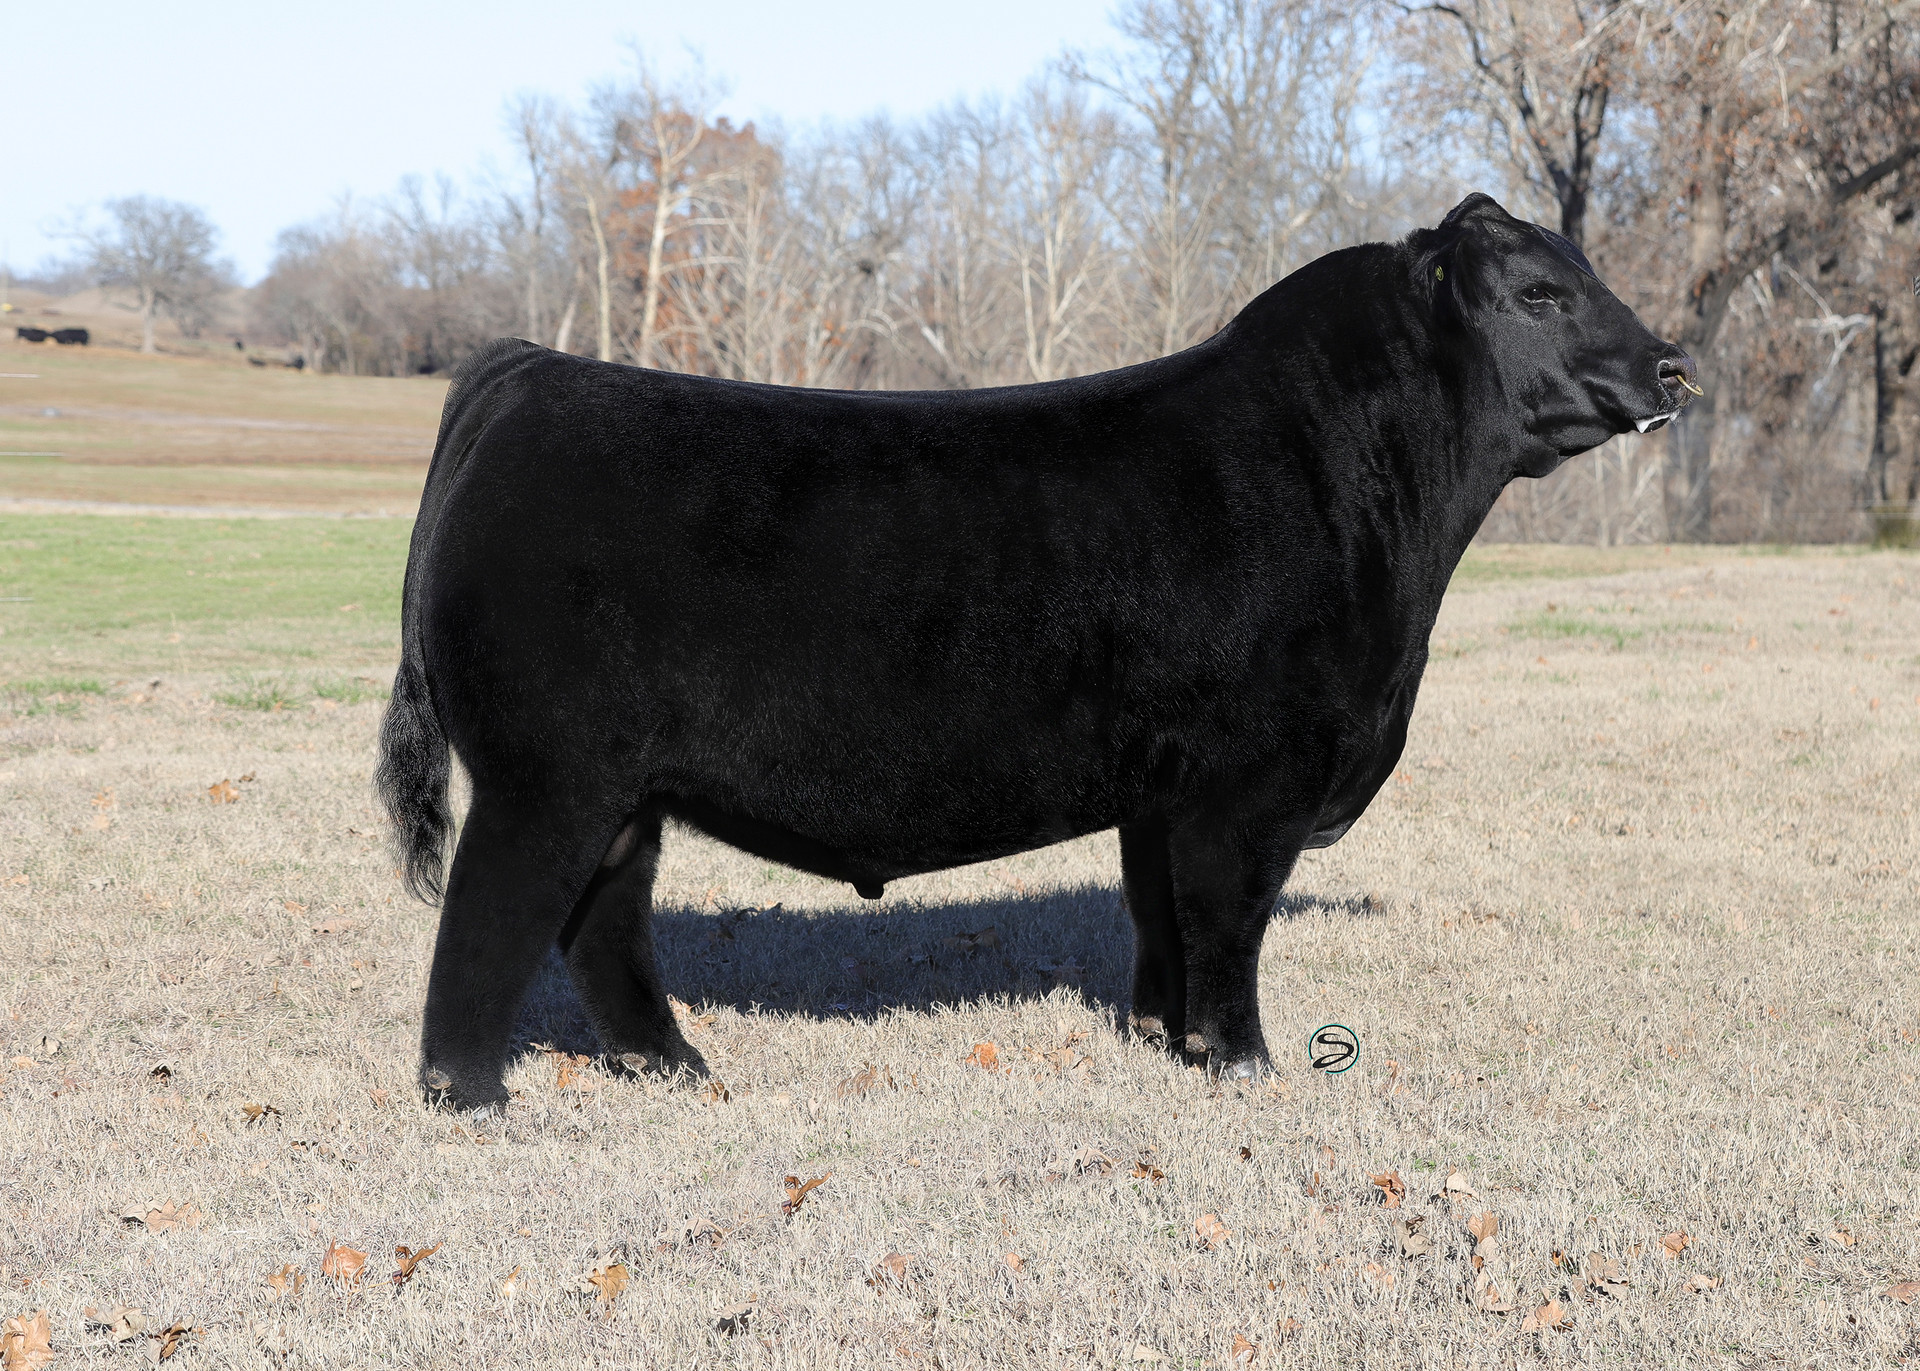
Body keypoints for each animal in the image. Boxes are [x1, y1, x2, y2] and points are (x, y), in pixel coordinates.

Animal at [377, 192, 1696, 1111]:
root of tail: (529, 372)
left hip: (622, 791)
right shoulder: (1254, 778)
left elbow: (1163, 919)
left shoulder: (1163, 788)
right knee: (491, 915)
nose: (1672, 367)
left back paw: (676, 1066)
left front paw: (1170, 1040)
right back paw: (472, 1095)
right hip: (548, 778)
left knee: (602, 919)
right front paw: (1246, 1064)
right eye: (1538, 292)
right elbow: (1231, 920)